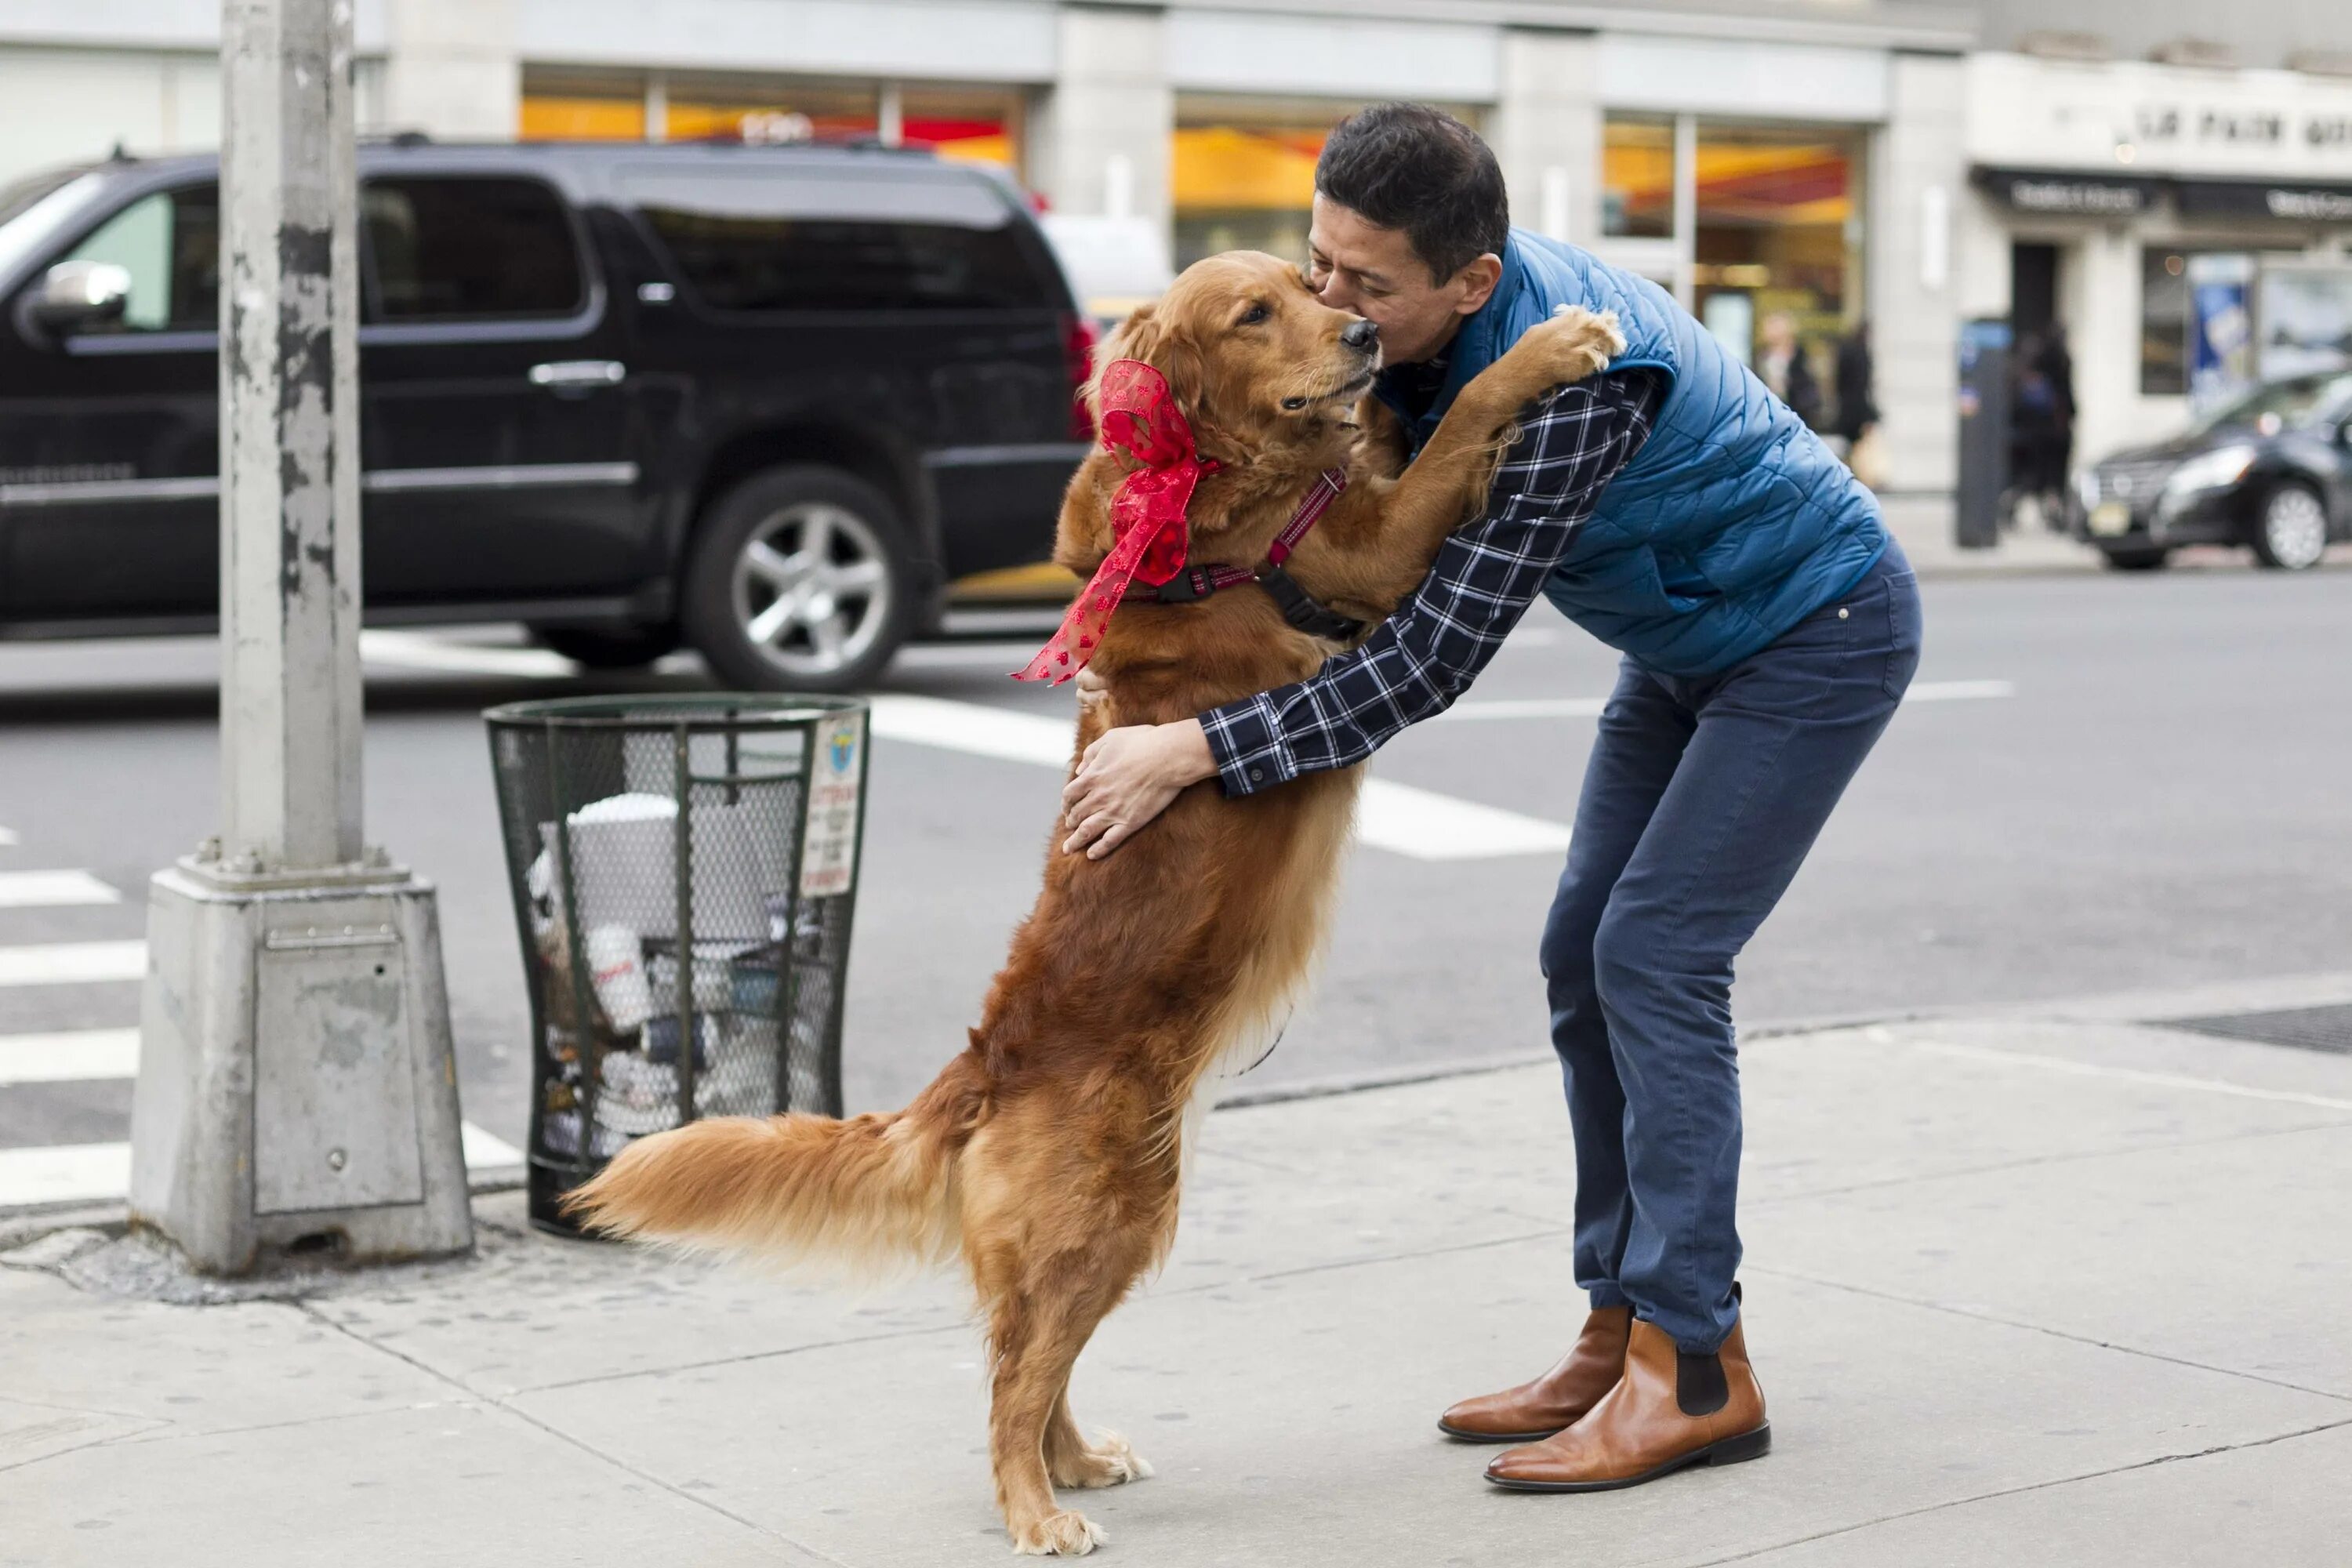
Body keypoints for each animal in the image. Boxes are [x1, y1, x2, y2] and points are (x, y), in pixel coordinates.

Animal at [569, 251, 1618, 1552]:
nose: (1367, 337)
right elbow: (1461, 421)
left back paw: (1071, 1463)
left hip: (1120, 1218)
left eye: (1312, 279)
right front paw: (1550, 347)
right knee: (1013, 1375)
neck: (1206, 486)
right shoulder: (1369, 548)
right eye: (1255, 312)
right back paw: (1034, 1509)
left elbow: (1394, 435)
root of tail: (980, 1071)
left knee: (1033, 1358)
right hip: (1108, 1212)